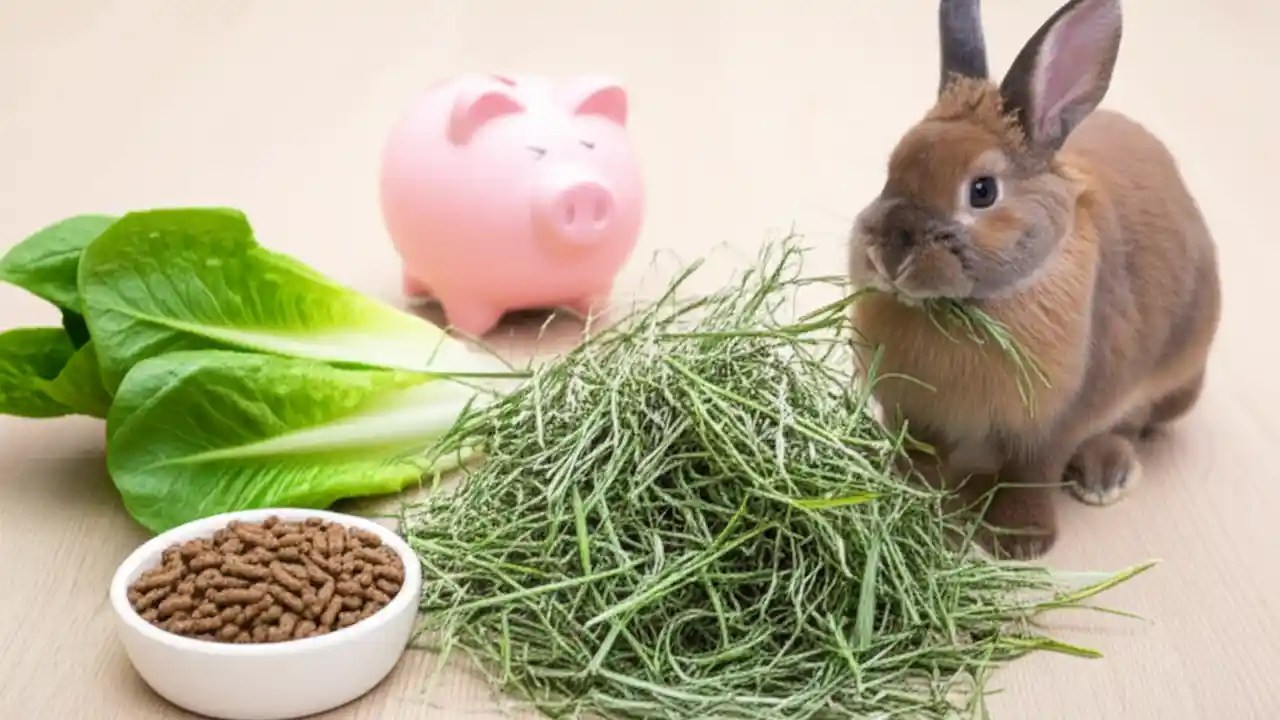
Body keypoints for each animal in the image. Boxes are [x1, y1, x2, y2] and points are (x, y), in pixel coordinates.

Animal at [846, 0, 1221, 559]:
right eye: (892, 167)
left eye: (982, 191)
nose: (889, 252)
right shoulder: (912, 414)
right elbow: (920, 458)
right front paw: (903, 496)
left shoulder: (1052, 424)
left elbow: (1031, 474)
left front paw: (1020, 542)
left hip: (1175, 379)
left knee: (1132, 425)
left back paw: (1105, 476)